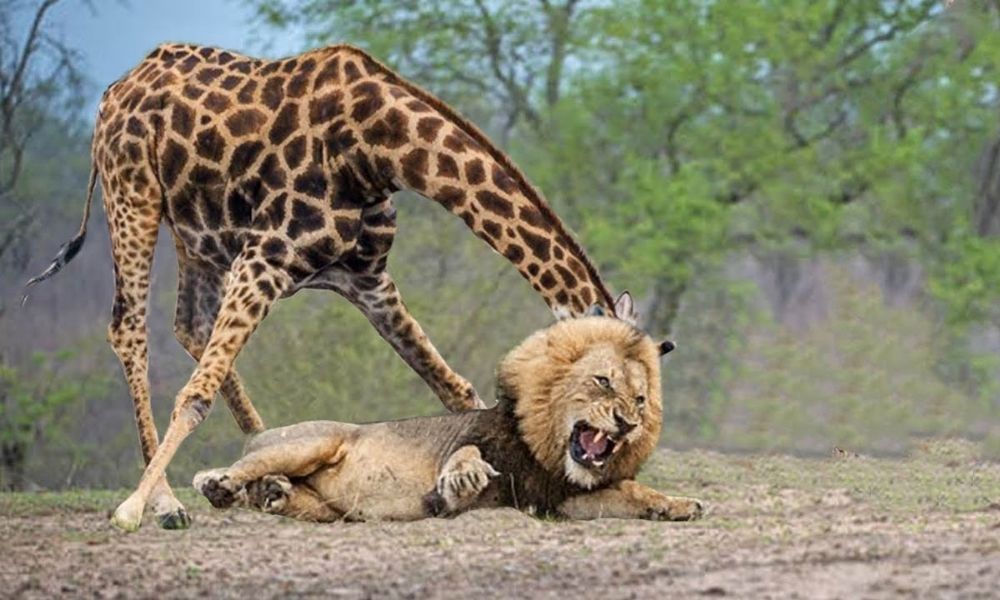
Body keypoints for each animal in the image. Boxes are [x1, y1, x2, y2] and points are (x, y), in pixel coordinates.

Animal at [26, 43, 635, 532]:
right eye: (603, 376)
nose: (623, 434)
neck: (381, 148)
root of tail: (112, 90)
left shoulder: (368, 281)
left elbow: (456, 391)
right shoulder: (267, 254)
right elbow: (195, 396)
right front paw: (132, 509)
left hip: (195, 233)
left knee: (189, 325)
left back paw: (261, 479)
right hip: (132, 193)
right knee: (129, 328)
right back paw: (167, 504)